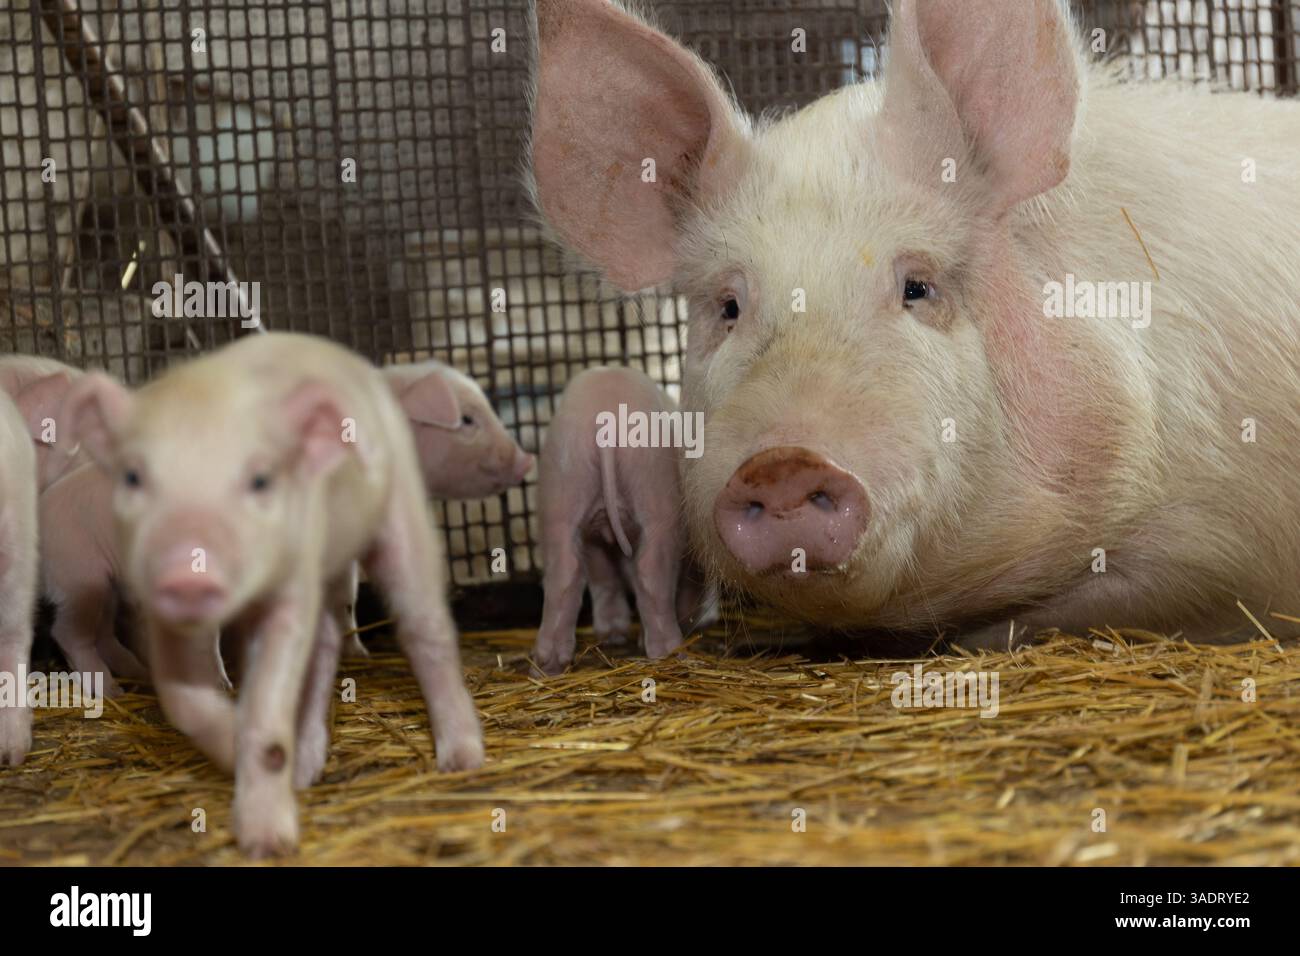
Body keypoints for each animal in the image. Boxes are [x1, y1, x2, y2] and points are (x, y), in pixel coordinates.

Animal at [63, 332, 484, 856]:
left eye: (261, 480)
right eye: (133, 476)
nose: (187, 572)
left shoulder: (293, 584)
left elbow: (268, 709)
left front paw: (269, 842)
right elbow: (183, 700)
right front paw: (232, 740)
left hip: (400, 510)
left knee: (425, 628)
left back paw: (462, 760)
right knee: (325, 646)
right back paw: (306, 771)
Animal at [533, 366, 698, 675]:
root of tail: (606, 409)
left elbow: (602, 575)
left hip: (562, 482)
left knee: (565, 572)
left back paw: (547, 665)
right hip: (655, 485)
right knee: (651, 570)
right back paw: (670, 652)